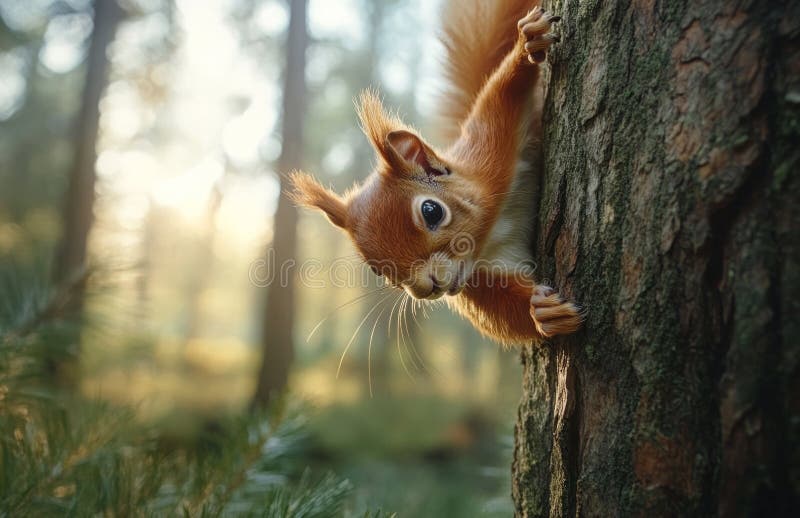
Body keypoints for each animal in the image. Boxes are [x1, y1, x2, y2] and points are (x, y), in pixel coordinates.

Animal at [290, 1, 582, 346]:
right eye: (376, 270)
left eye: (432, 211)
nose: (425, 287)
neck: (490, 236)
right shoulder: (478, 283)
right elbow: (501, 315)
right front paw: (542, 313)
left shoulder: (490, 158)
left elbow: (500, 97)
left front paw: (528, 44)